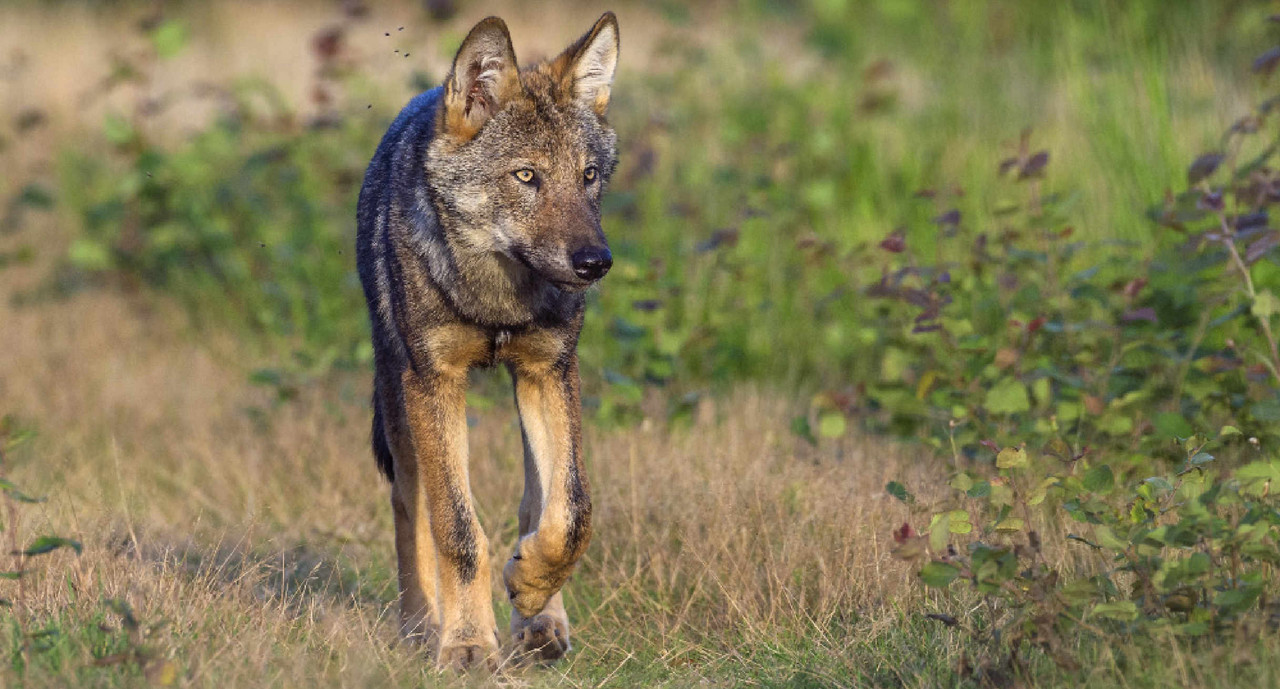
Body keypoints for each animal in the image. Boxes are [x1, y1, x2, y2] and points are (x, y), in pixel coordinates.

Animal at [354, 12, 620, 672]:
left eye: (588, 176)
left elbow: (572, 512)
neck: (497, 299)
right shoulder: (435, 381)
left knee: (536, 503)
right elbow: (456, 528)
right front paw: (468, 644)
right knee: (410, 508)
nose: (596, 262)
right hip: (398, 400)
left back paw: (541, 619)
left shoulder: (550, 370)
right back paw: (421, 625)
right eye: (526, 176)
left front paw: (529, 586)